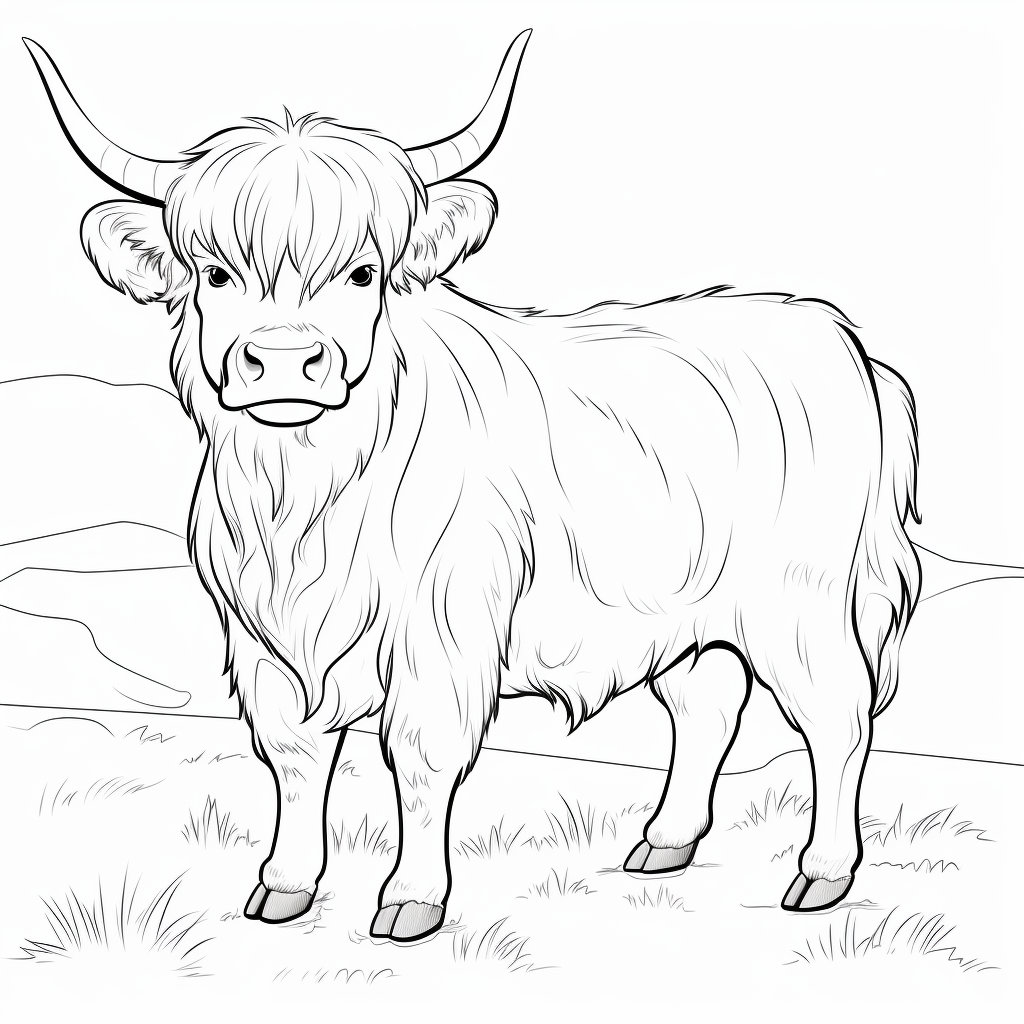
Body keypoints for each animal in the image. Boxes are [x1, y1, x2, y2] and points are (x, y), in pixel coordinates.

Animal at [26, 31, 921, 943]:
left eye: (364, 274)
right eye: (213, 273)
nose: (283, 361)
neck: (306, 503)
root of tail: (836, 337)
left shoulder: (442, 629)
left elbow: (421, 756)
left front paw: (411, 899)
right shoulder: (261, 636)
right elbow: (293, 758)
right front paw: (284, 887)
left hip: (799, 602)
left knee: (838, 714)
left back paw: (822, 875)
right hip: (686, 617)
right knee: (706, 706)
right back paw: (663, 843)